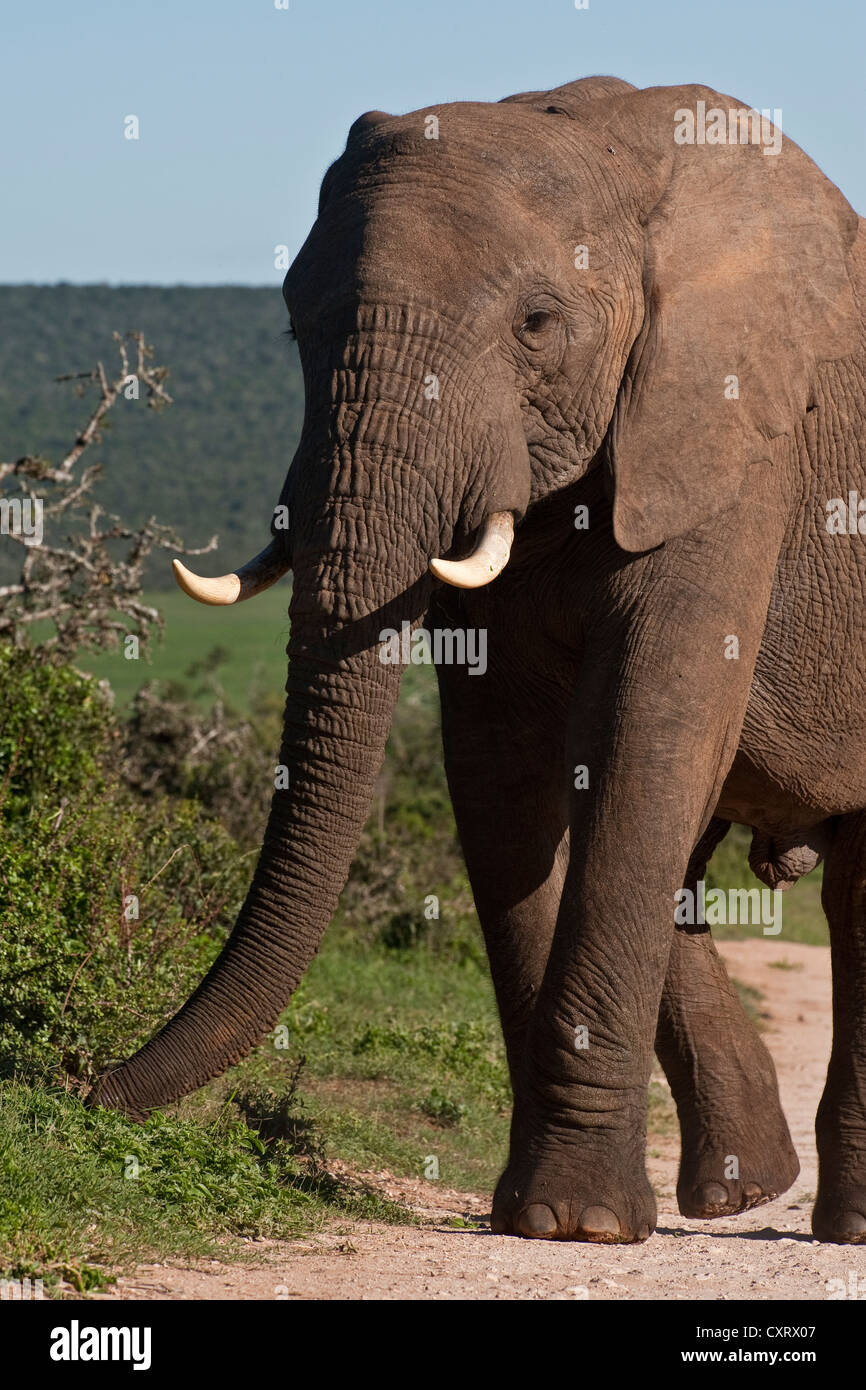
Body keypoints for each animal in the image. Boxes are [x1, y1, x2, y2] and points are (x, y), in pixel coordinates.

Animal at [89, 75, 866, 1246]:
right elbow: (508, 771)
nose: (82, 1087)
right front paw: (543, 1215)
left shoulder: (731, 441)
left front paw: (577, 1225)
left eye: (536, 325)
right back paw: (744, 1190)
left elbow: (648, 737)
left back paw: (838, 1222)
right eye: (293, 323)